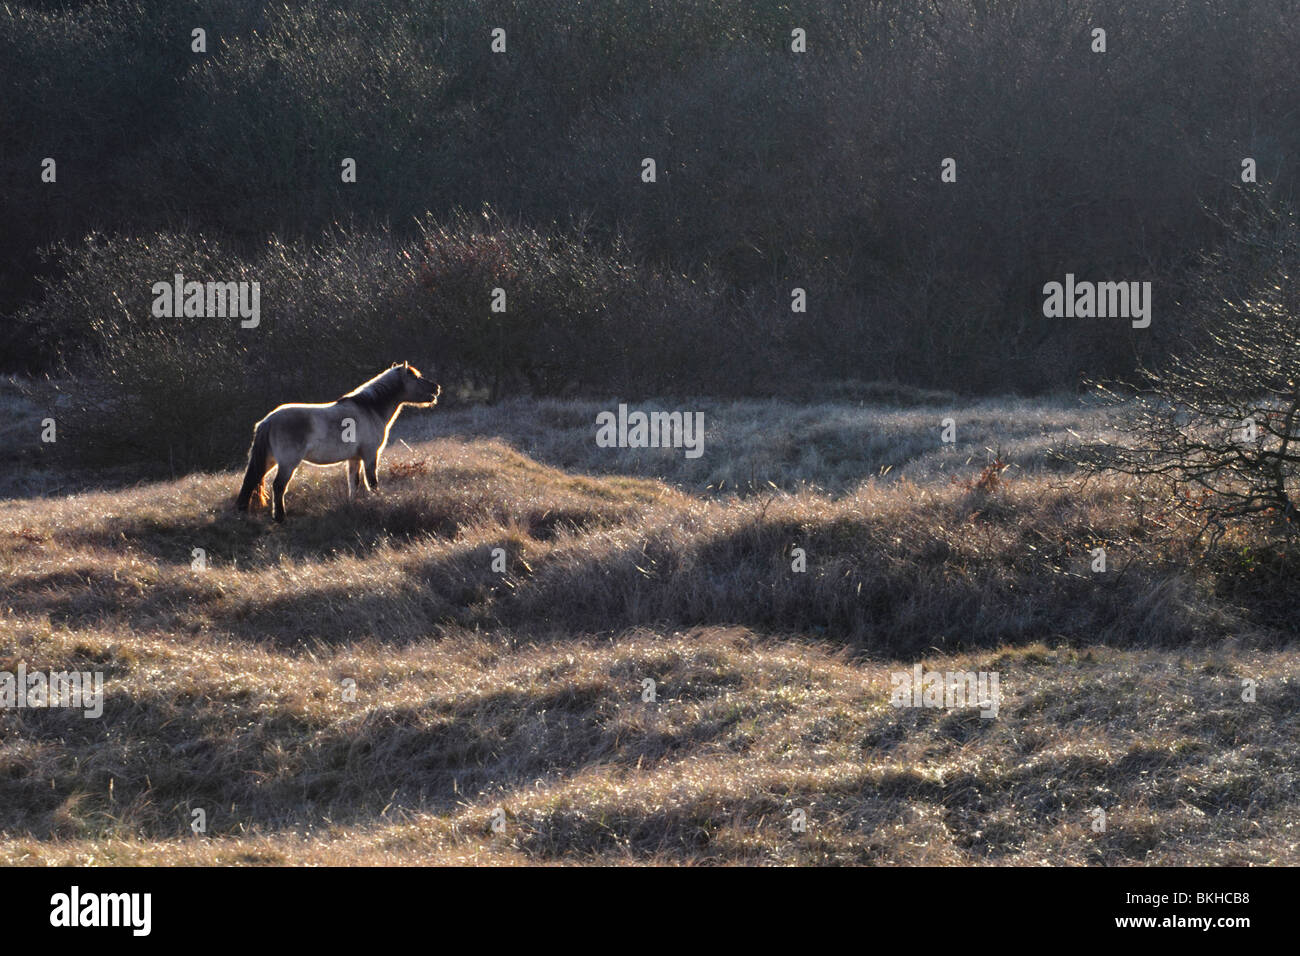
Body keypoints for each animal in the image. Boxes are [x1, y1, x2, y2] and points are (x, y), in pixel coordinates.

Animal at [236, 362, 441, 522]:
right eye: (416, 377)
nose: (436, 388)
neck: (370, 408)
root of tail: (268, 420)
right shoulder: (370, 455)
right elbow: (372, 482)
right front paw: (378, 501)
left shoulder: (355, 459)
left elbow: (353, 483)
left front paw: (353, 505)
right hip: (287, 463)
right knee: (278, 486)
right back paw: (279, 517)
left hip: (269, 461)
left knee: (251, 481)